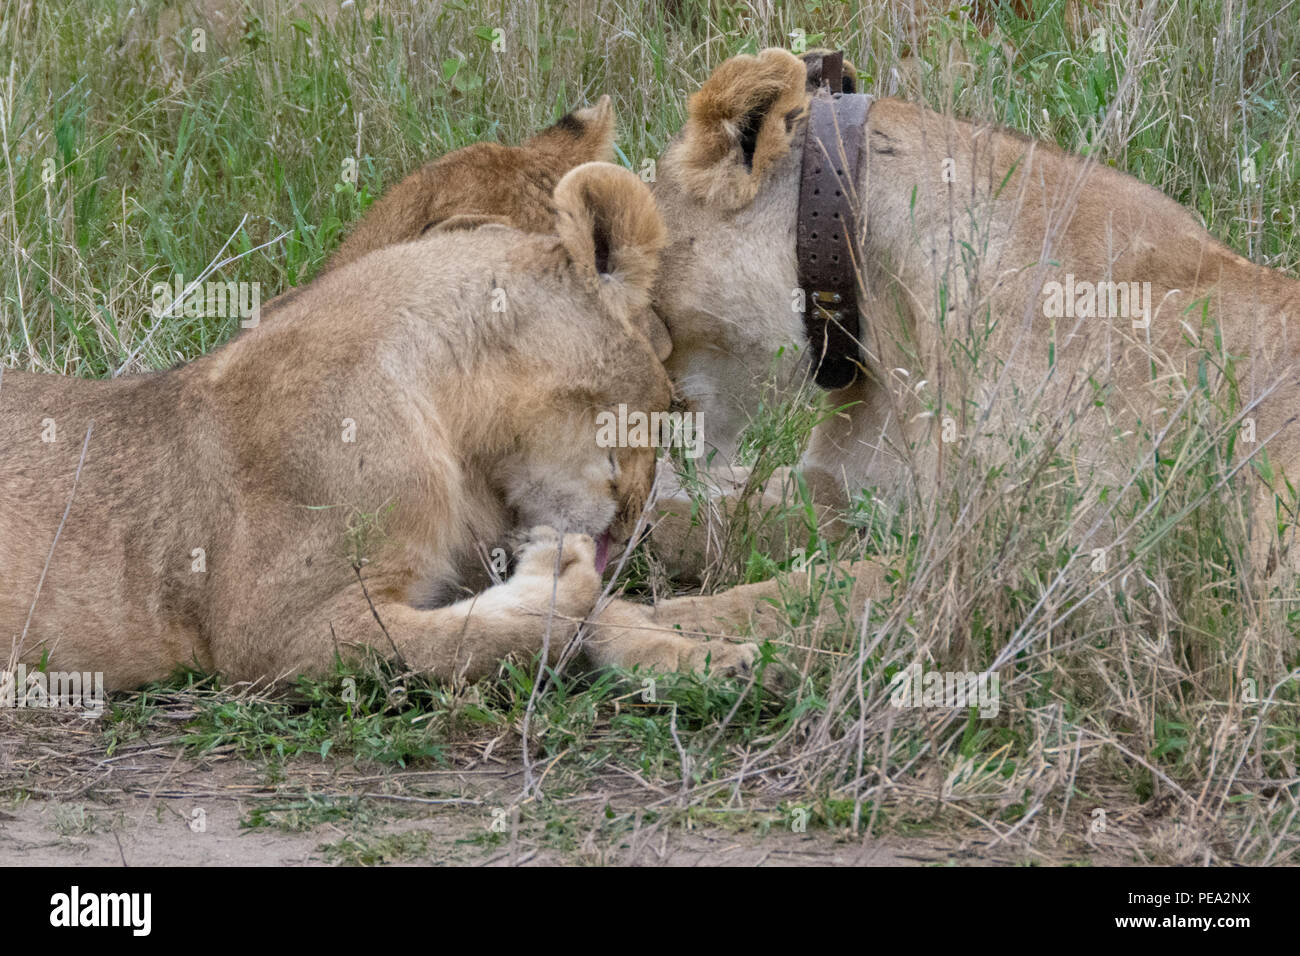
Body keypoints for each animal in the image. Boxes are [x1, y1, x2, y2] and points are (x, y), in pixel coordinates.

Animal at [0, 162, 757, 693]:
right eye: (667, 400)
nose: (632, 530)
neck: (455, 418)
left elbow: (602, 617)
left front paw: (717, 656)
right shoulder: (269, 636)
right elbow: (473, 641)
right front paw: (558, 578)